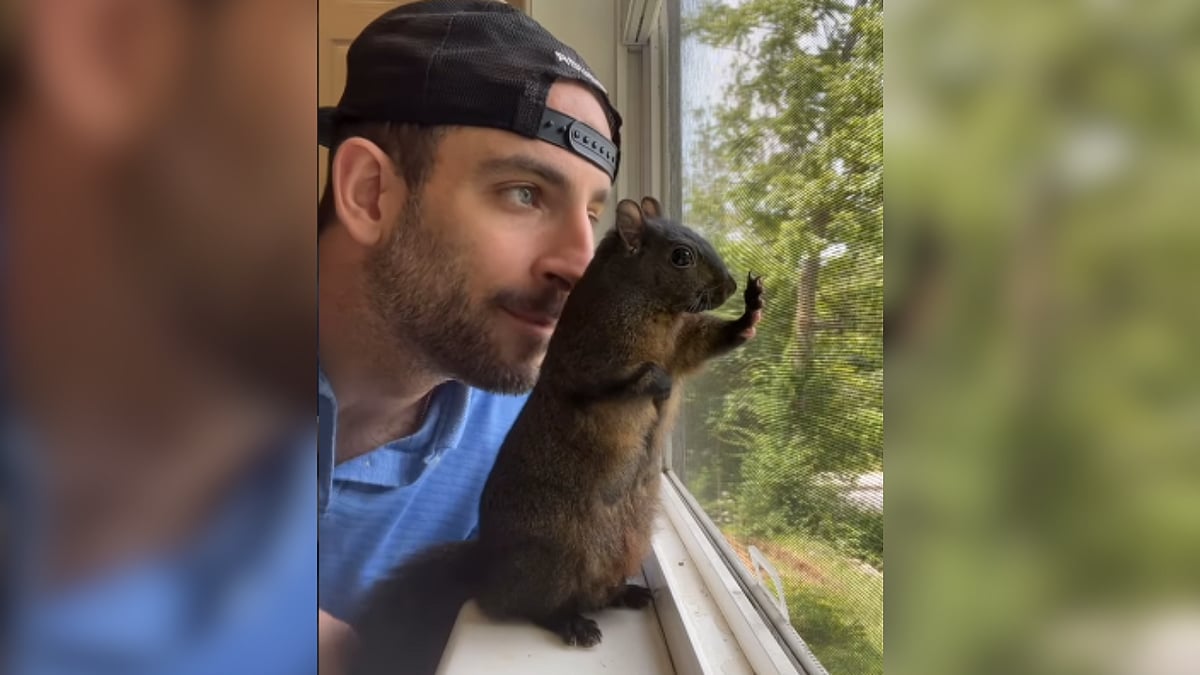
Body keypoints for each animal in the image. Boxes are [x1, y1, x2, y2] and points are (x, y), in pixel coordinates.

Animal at [348, 196, 765, 675]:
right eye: (681, 256)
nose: (730, 285)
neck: (650, 308)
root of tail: (487, 568)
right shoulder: (585, 360)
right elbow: (607, 384)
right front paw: (652, 382)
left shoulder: (683, 344)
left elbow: (704, 344)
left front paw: (751, 311)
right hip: (556, 559)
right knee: (529, 607)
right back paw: (572, 624)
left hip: (621, 550)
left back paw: (626, 594)